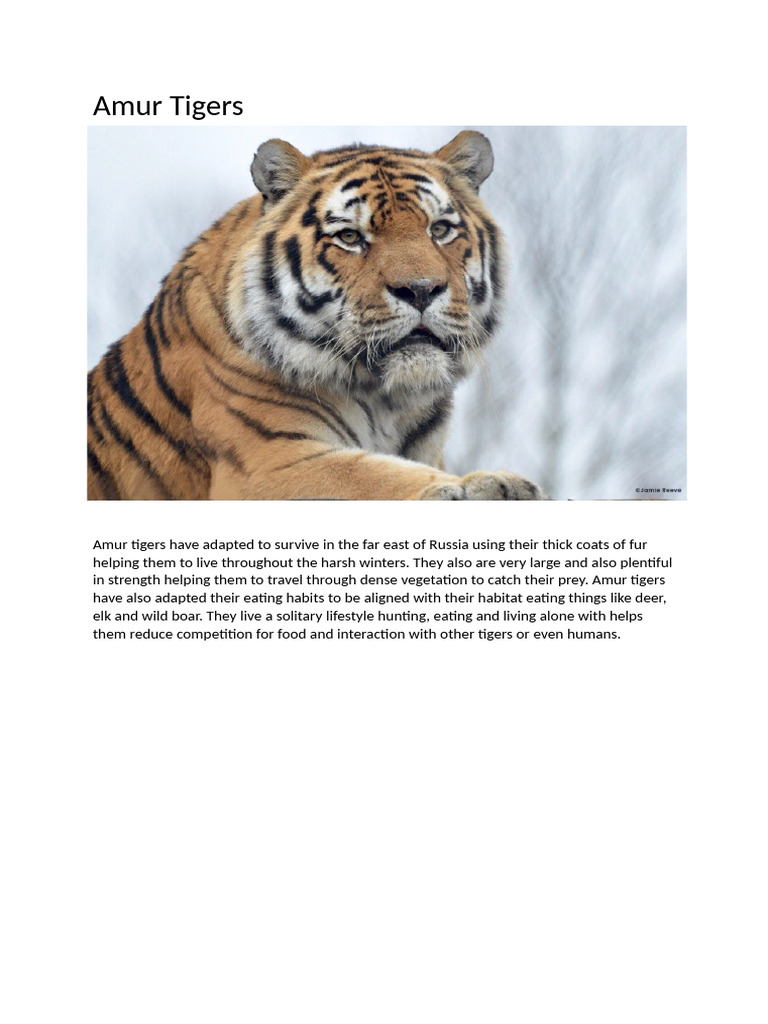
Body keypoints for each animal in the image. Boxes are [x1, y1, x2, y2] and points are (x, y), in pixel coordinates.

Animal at [87, 131, 548, 501]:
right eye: (350, 237)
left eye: (439, 230)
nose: (420, 289)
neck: (390, 404)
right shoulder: (269, 461)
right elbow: (369, 475)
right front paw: (486, 486)